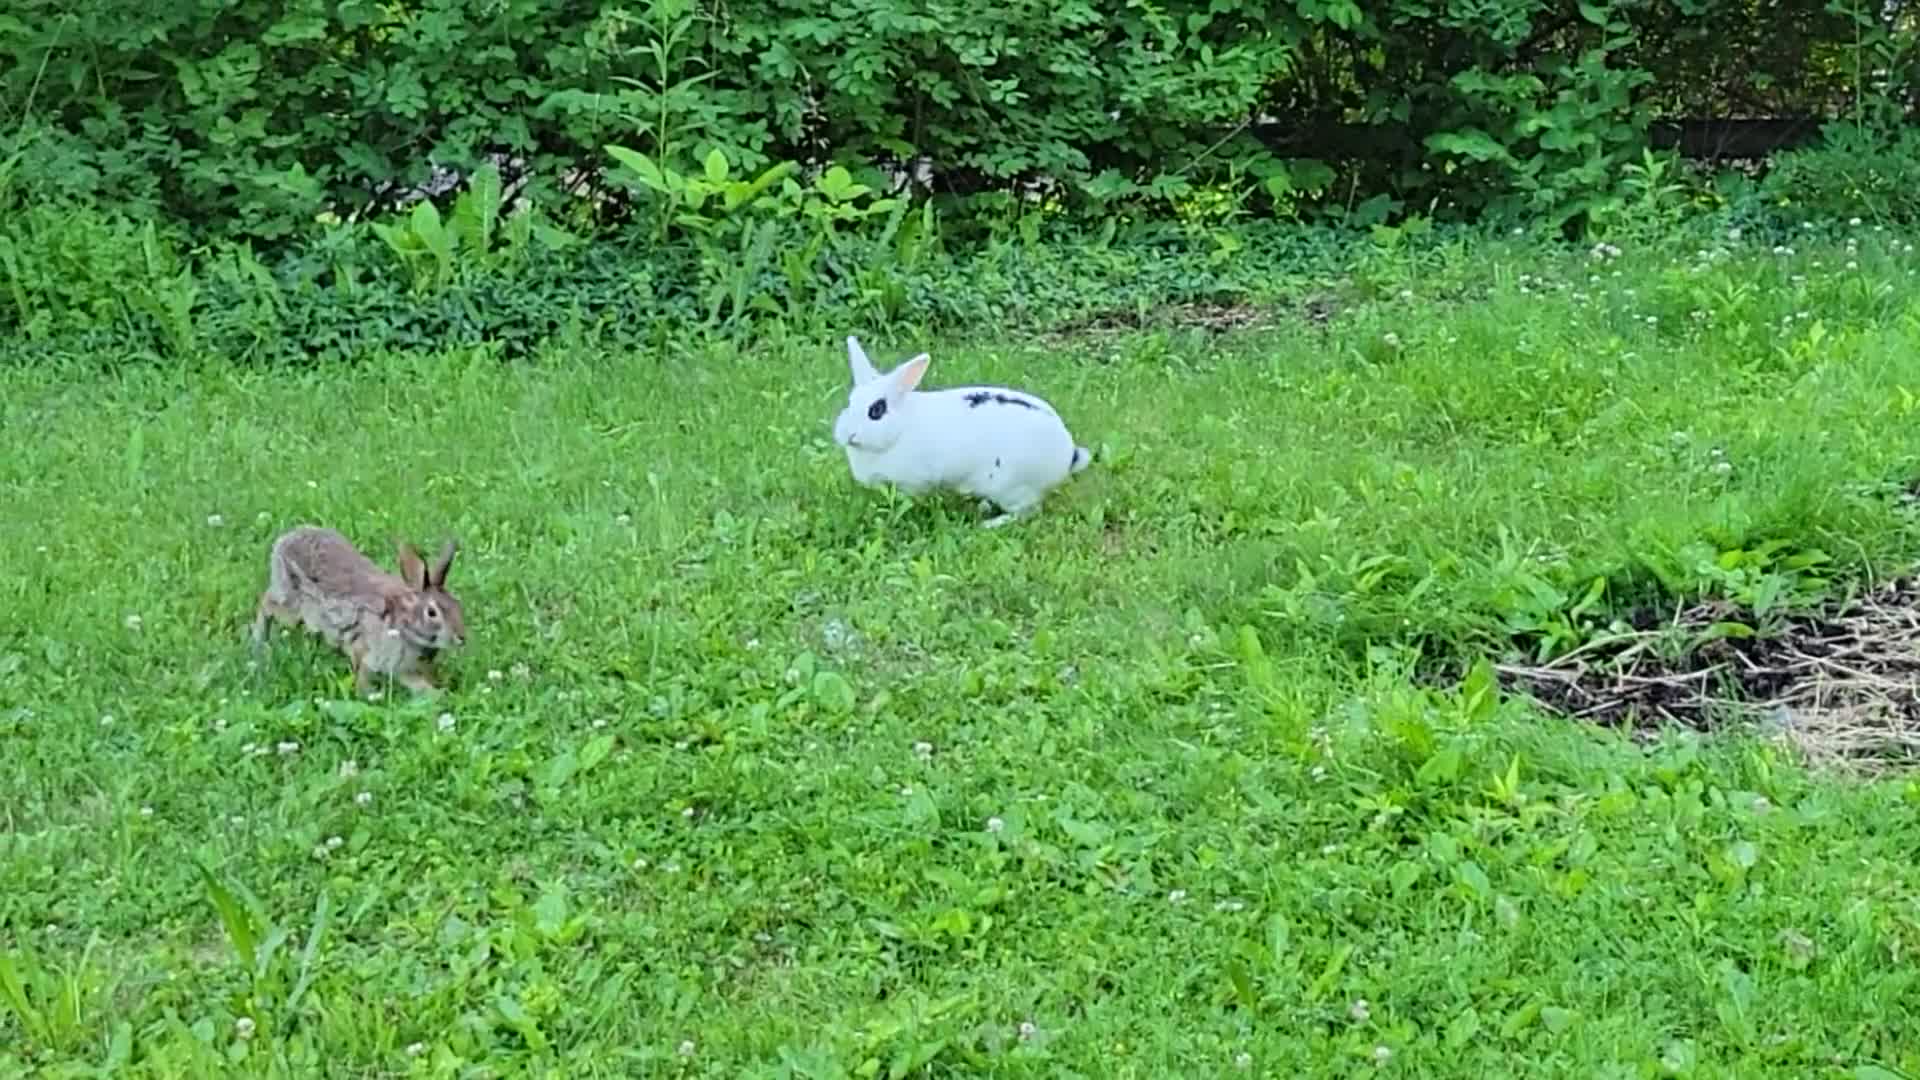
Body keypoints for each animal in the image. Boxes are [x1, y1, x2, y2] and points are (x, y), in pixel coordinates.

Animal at [251, 525, 467, 696]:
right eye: (432, 613)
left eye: (457, 605)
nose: (461, 638)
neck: (404, 625)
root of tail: (285, 540)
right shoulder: (364, 651)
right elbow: (362, 674)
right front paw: (367, 695)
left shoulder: (403, 670)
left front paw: (439, 696)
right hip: (293, 607)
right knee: (266, 604)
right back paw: (259, 641)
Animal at [832, 336, 1092, 527]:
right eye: (849, 402)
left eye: (876, 410)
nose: (847, 435)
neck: (899, 430)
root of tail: (1069, 454)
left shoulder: (913, 483)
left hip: (1013, 488)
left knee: (1026, 512)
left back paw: (990, 524)